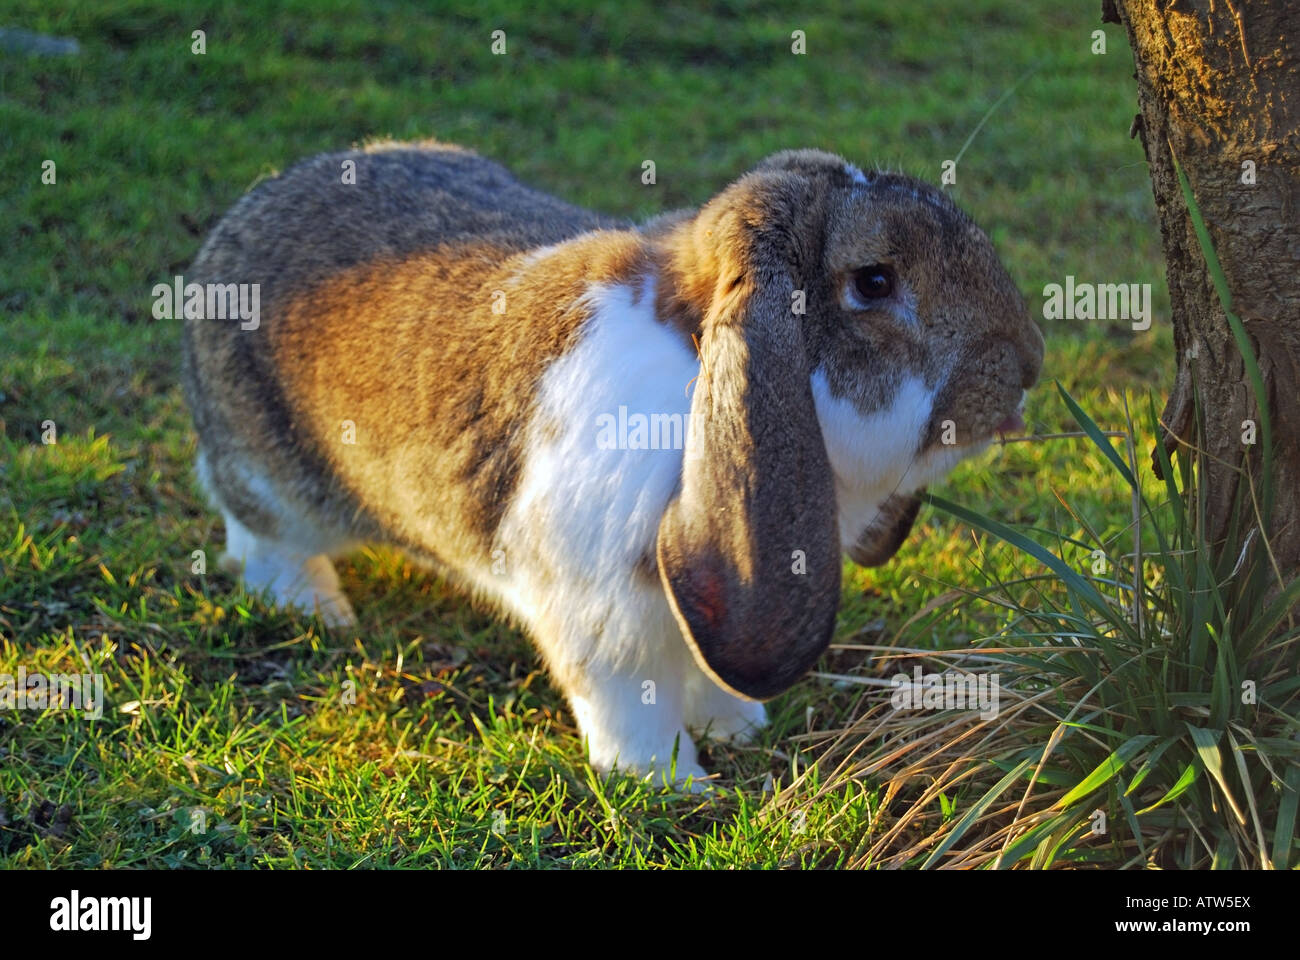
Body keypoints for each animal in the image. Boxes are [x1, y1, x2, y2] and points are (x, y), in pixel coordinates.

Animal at [181, 139, 1043, 788]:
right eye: (874, 281)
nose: (1028, 365)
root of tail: (241, 220)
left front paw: (739, 726)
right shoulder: (605, 618)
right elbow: (631, 705)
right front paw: (672, 783)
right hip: (270, 482)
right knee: (256, 537)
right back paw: (316, 606)